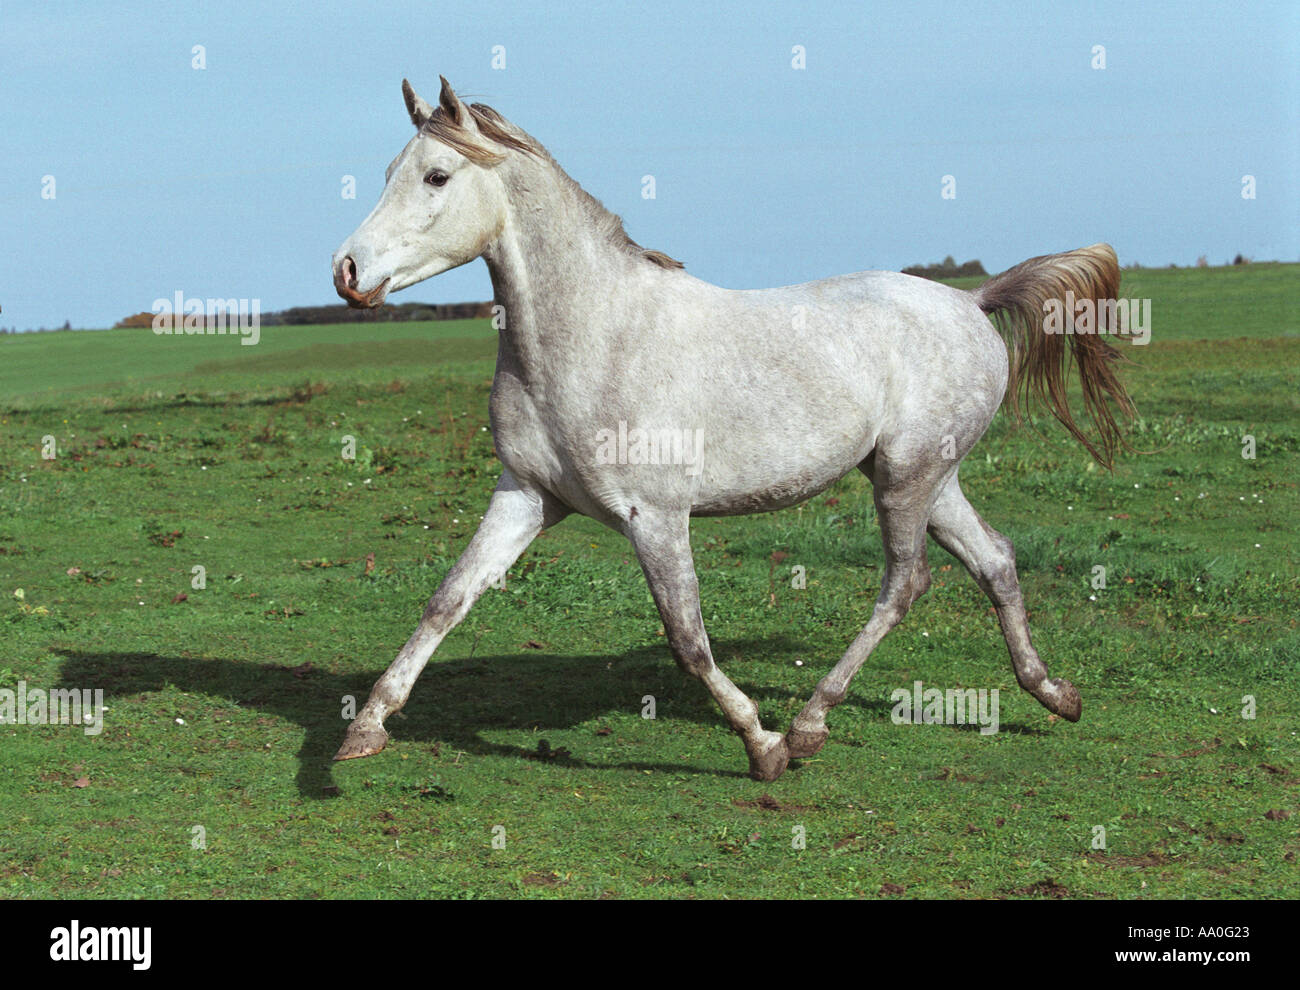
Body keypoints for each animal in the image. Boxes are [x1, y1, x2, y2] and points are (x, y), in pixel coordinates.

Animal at [330, 76, 1135, 781]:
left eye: (436, 176)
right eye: (389, 171)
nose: (347, 271)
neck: (594, 336)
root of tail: (971, 303)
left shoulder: (655, 517)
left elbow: (688, 641)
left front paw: (763, 747)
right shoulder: (526, 497)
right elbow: (447, 600)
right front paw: (364, 728)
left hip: (908, 479)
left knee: (906, 583)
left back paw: (810, 724)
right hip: (923, 477)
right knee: (993, 559)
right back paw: (1054, 694)